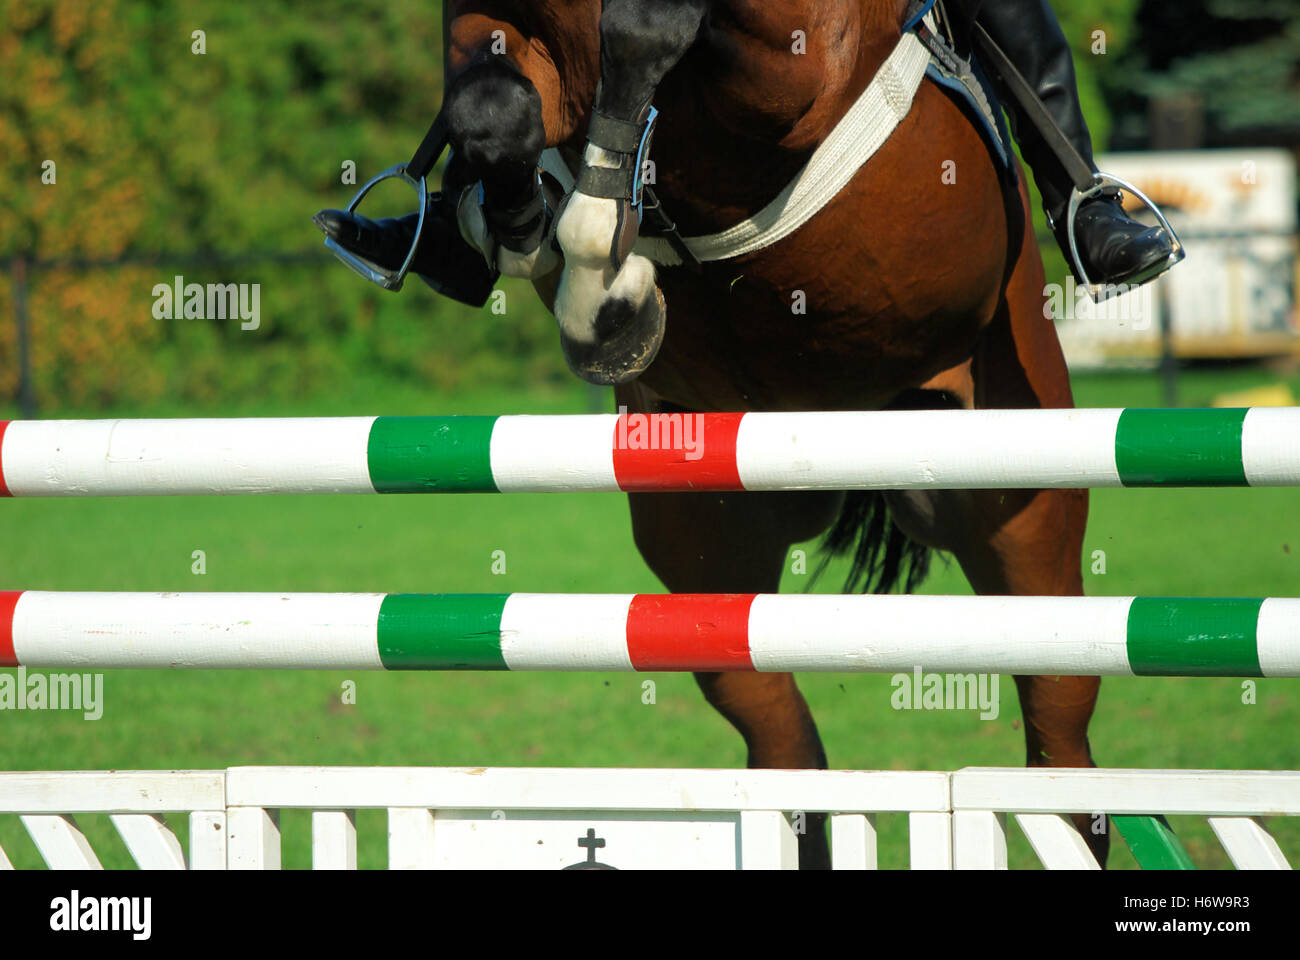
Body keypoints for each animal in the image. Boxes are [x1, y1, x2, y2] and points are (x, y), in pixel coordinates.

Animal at [328, 0, 1100, 868]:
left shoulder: (797, 70)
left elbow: (647, 34)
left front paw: (601, 281)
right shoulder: (501, 35)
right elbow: (491, 110)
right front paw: (544, 247)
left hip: (1021, 509)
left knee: (1060, 733)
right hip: (712, 560)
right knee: (781, 747)